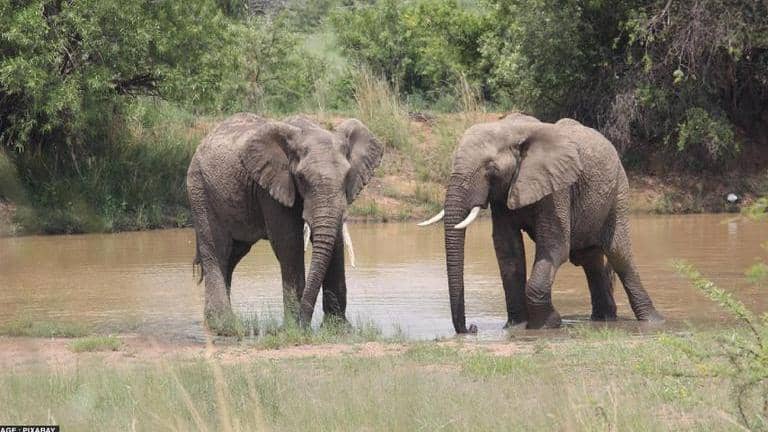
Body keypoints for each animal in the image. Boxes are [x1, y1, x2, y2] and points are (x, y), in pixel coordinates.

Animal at [186, 113, 382, 332]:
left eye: (347, 176)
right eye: (301, 178)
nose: (305, 325)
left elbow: (335, 243)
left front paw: (339, 330)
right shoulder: (272, 186)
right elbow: (289, 242)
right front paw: (294, 329)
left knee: (233, 254)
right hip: (200, 189)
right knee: (216, 250)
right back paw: (223, 326)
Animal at [419, 113, 663, 332]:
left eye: (491, 169)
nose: (472, 327)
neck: (511, 129)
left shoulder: (558, 188)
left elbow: (554, 247)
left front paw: (547, 325)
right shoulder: (503, 193)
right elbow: (508, 251)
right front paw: (516, 327)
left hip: (619, 191)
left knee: (618, 254)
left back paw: (652, 321)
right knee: (589, 258)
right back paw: (604, 319)